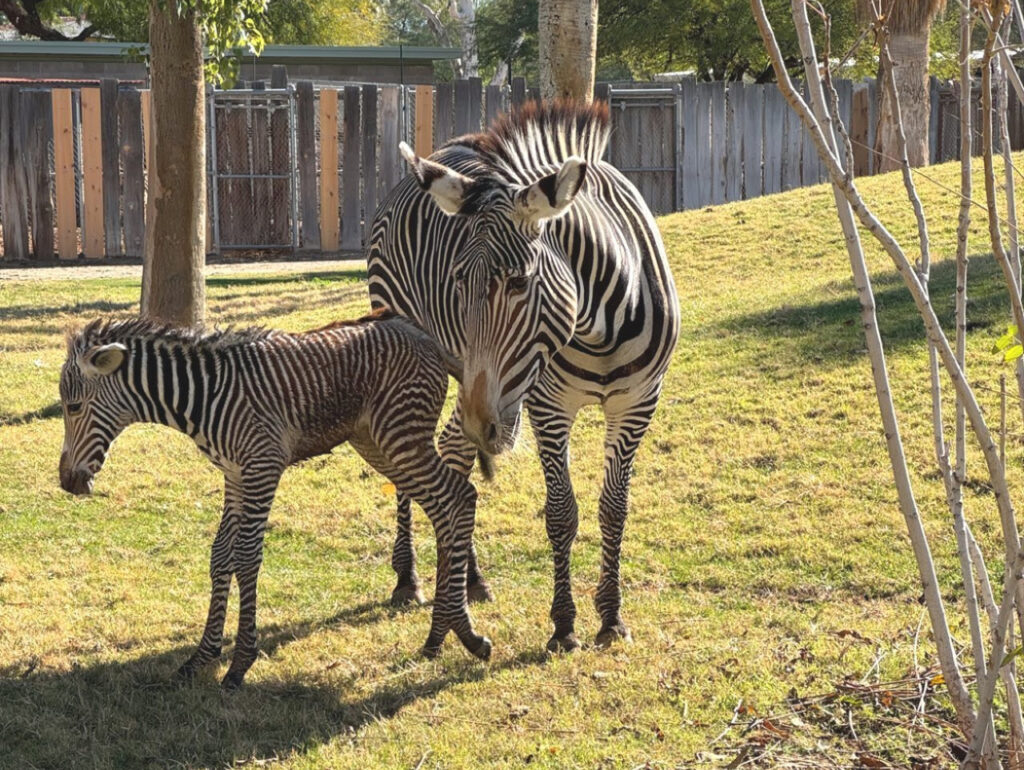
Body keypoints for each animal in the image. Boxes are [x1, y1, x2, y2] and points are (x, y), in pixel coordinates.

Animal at [58, 311, 491, 689]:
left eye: (73, 407)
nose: (66, 482)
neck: (204, 396)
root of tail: (419, 333)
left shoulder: (262, 468)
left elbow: (247, 556)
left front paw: (239, 664)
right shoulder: (234, 475)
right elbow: (221, 555)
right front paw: (202, 656)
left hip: (401, 436)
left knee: (460, 497)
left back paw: (465, 630)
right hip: (378, 443)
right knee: (443, 509)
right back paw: (440, 634)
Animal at [367, 100, 680, 653]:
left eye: (517, 282)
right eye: (456, 280)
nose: (485, 423)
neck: (600, 326)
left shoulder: (638, 402)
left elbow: (614, 508)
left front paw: (611, 617)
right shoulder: (547, 406)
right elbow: (561, 513)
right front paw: (564, 625)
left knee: (453, 452)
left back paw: (470, 579)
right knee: (417, 459)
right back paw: (407, 578)